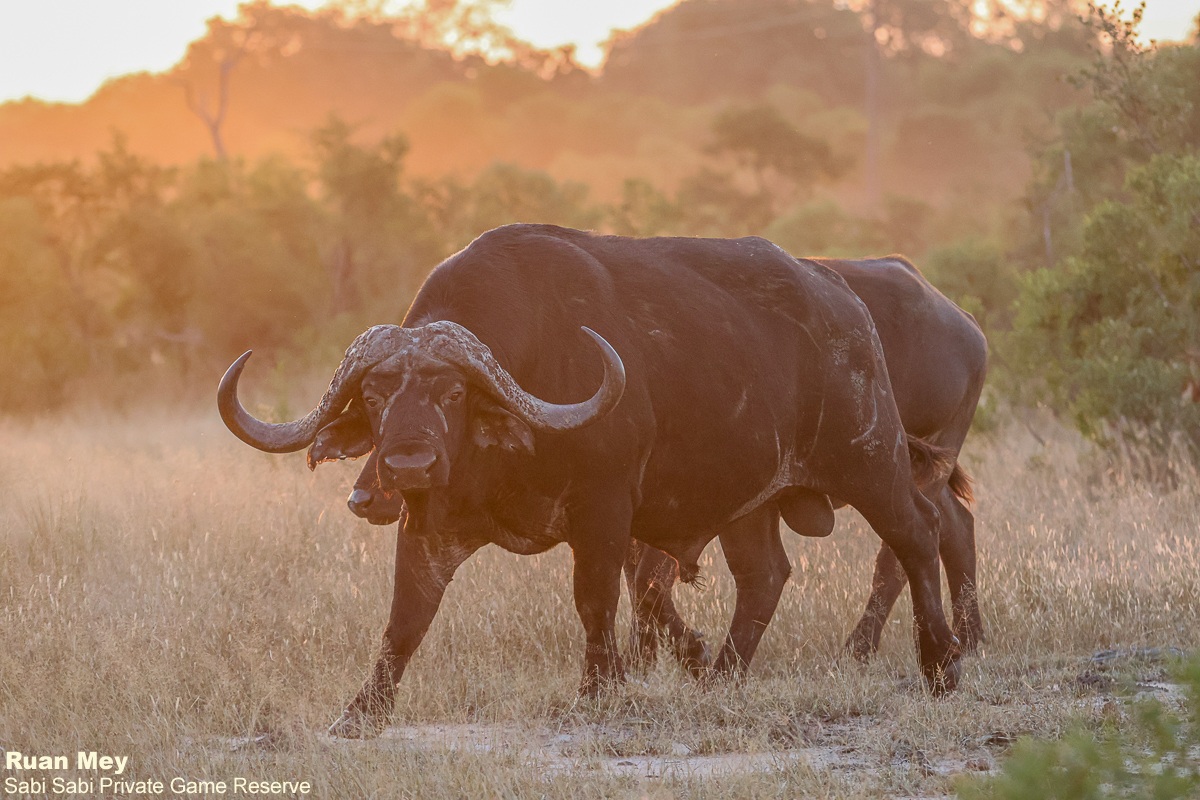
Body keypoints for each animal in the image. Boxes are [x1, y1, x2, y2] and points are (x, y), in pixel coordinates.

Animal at [217, 224, 964, 739]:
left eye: (451, 393)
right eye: (374, 397)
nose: (406, 466)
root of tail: (847, 305)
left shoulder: (603, 513)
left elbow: (595, 602)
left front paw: (599, 691)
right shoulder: (428, 527)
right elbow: (404, 621)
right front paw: (360, 713)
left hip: (871, 459)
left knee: (918, 535)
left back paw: (943, 663)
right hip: (750, 502)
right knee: (766, 575)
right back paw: (720, 680)